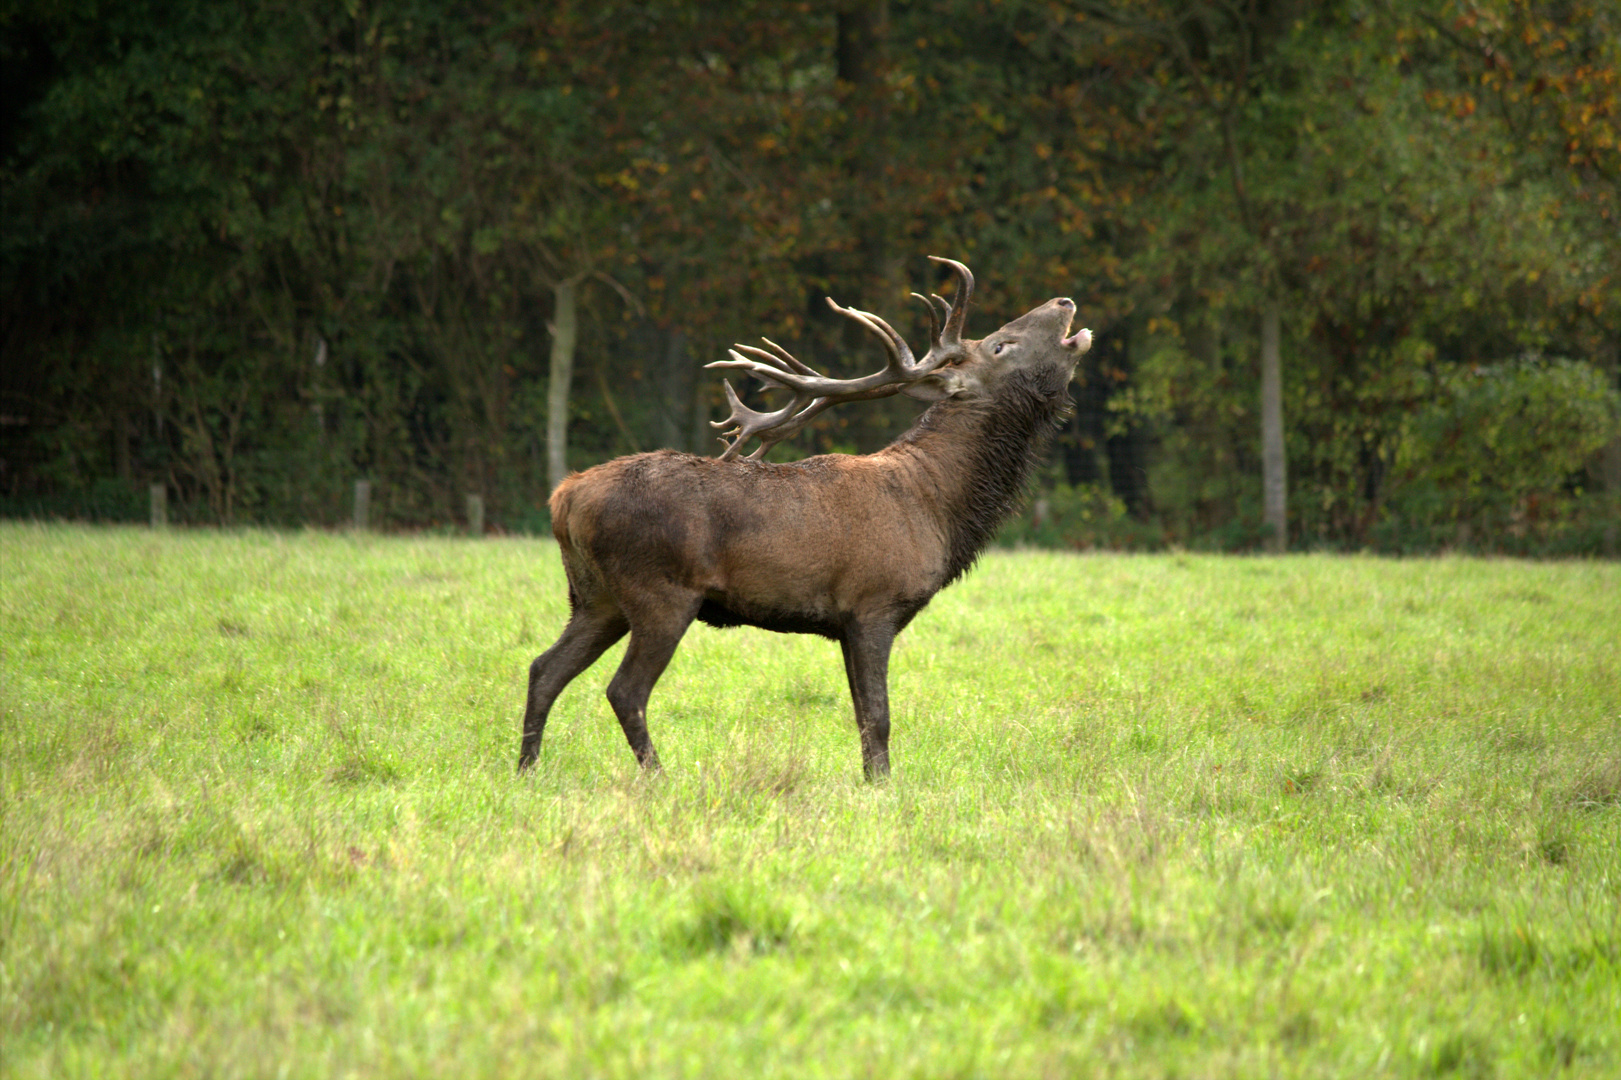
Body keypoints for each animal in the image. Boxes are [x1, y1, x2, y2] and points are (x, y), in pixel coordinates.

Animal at [517, 257, 1092, 781]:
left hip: (596, 597)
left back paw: (525, 771)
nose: (1065, 301)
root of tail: (564, 497)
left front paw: (871, 783)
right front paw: (884, 790)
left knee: (544, 668)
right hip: (661, 590)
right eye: (1000, 345)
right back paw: (659, 777)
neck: (937, 508)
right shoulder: (873, 603)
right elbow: (879, 716)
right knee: (625, 690)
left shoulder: (845, 622)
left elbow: (862, 717)